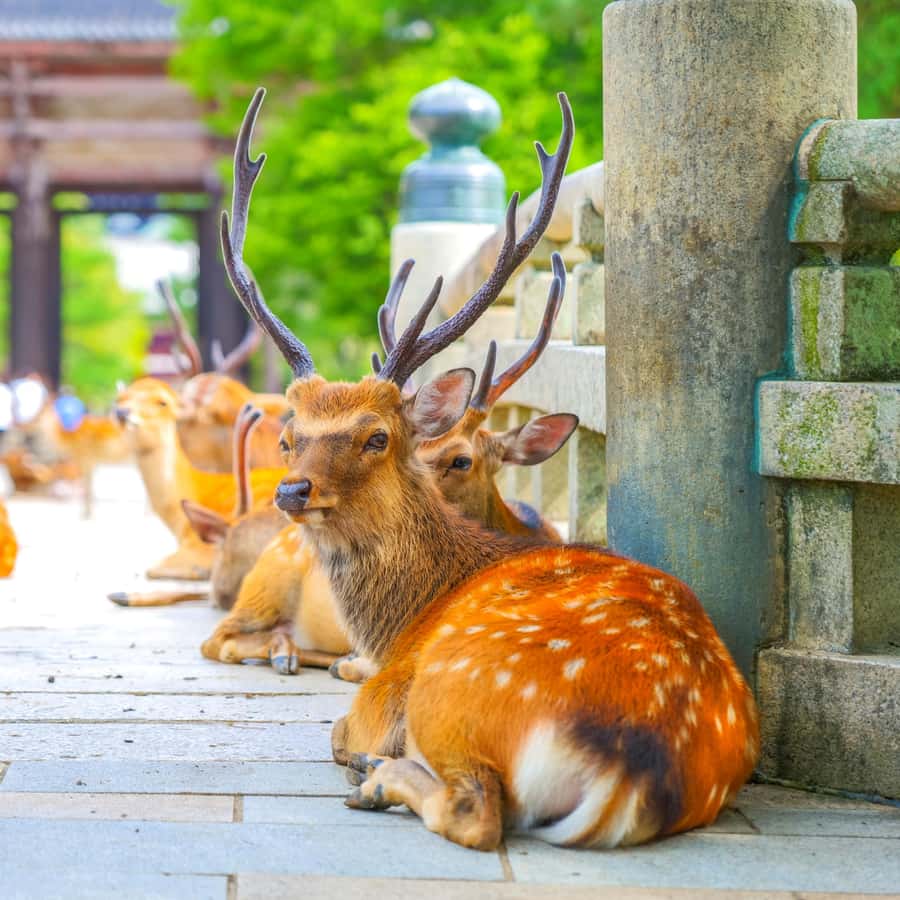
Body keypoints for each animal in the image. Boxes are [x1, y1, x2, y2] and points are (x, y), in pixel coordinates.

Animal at [219, 87, 759, 851]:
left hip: (451, 690)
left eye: (377, 436)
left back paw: (380, 780)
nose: (293, 490)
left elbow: (336, 731)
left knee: (474, 812)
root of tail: (633, 766)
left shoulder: (383, 689)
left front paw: (363, 759)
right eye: (290, 436)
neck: (401, 620)